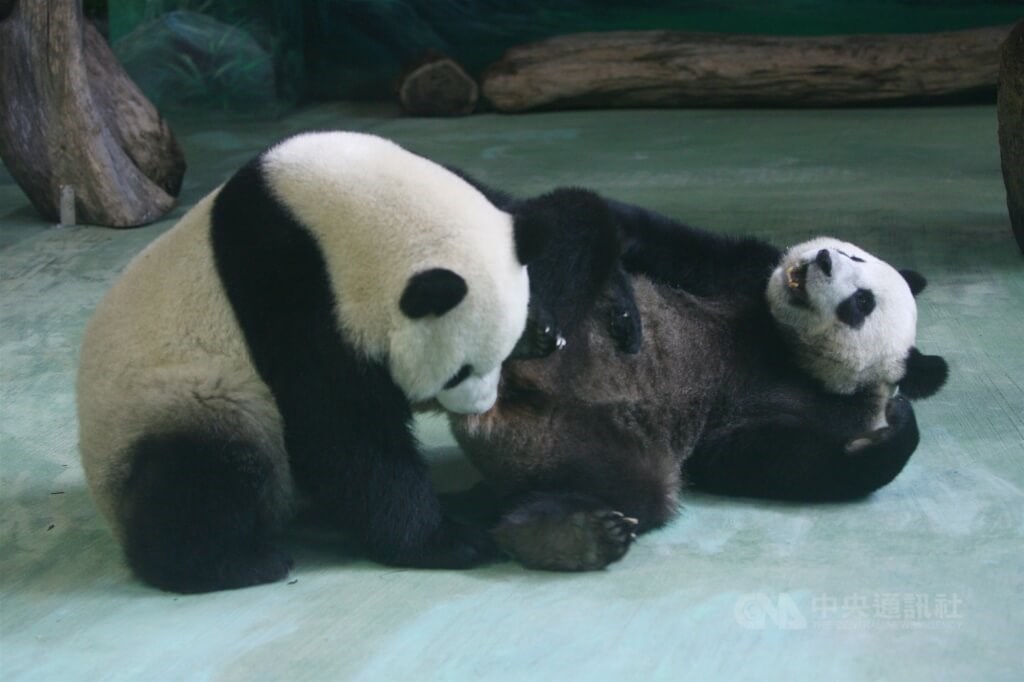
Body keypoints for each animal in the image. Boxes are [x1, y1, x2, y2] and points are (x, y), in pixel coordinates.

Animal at [76, 131, 548, 593]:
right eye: (458, 373)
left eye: (505, 353)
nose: (480, 406)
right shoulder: (290, 296)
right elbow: (340, 431)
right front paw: (447, 542)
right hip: (183, 403)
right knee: (203, 476)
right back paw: (232, 563)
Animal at [447, 190, 949, 572]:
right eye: (850, 253)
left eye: (862, 302)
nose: (822, 259)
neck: (788, 348)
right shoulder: (742, 275)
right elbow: (658, 240)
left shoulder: (814, 409)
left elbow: (776, 462)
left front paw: (898, 423)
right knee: (579, 219)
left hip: (567, 439)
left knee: (633, 487)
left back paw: (564, 534)